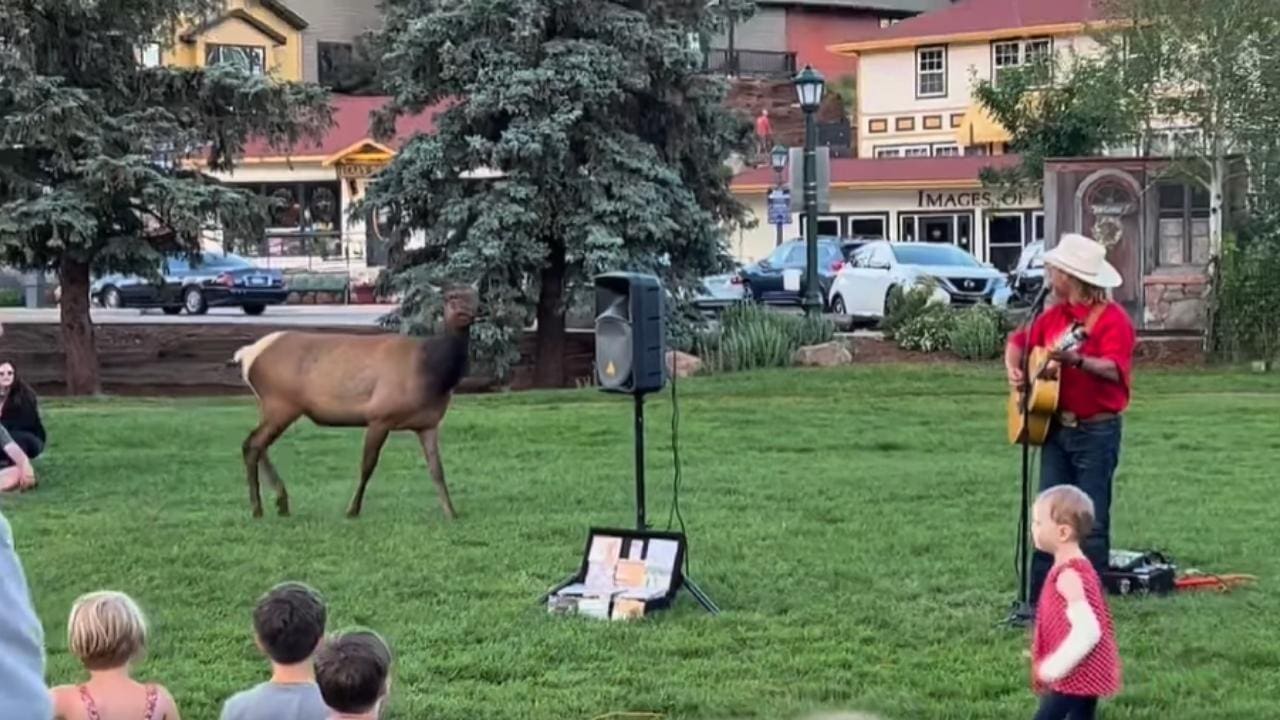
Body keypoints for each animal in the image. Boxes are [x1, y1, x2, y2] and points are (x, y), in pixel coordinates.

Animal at [231, 286, 478, 521]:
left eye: (475, 294)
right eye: (451, 297)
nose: (472, 311)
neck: (433, 374)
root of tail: (246, 355)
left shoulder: (427, 424)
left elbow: (437, 470)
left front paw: (451, 512)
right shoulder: (380, 416)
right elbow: (367, 466)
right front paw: (352, 510)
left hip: (273, 406)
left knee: (258, 444)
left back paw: (280, 501)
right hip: (280, 403)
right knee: (252, 443)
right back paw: (258, 507)